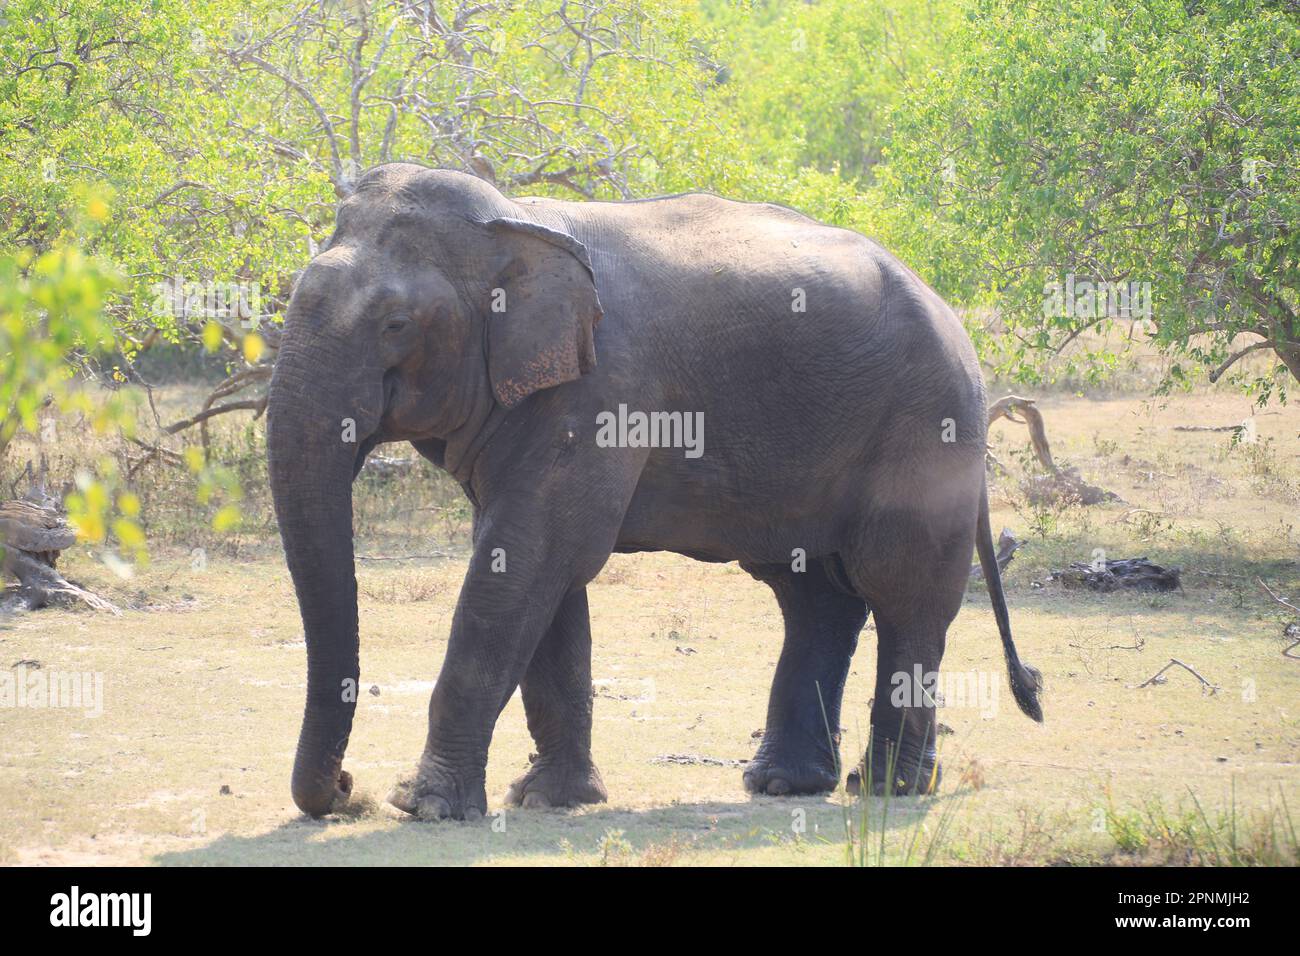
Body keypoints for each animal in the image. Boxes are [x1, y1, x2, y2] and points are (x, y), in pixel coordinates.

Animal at [266, 162, 1044, 820]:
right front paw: (551, 798)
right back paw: (783, 784)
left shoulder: (601, 393)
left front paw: (424, 807)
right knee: (813, 597)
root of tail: (956, 324)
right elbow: (540, 574)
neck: (515, 222)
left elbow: (527, 562)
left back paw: (887, 789)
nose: (348, 789)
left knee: (904, 594)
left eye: (396, 325)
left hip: (926, 428)